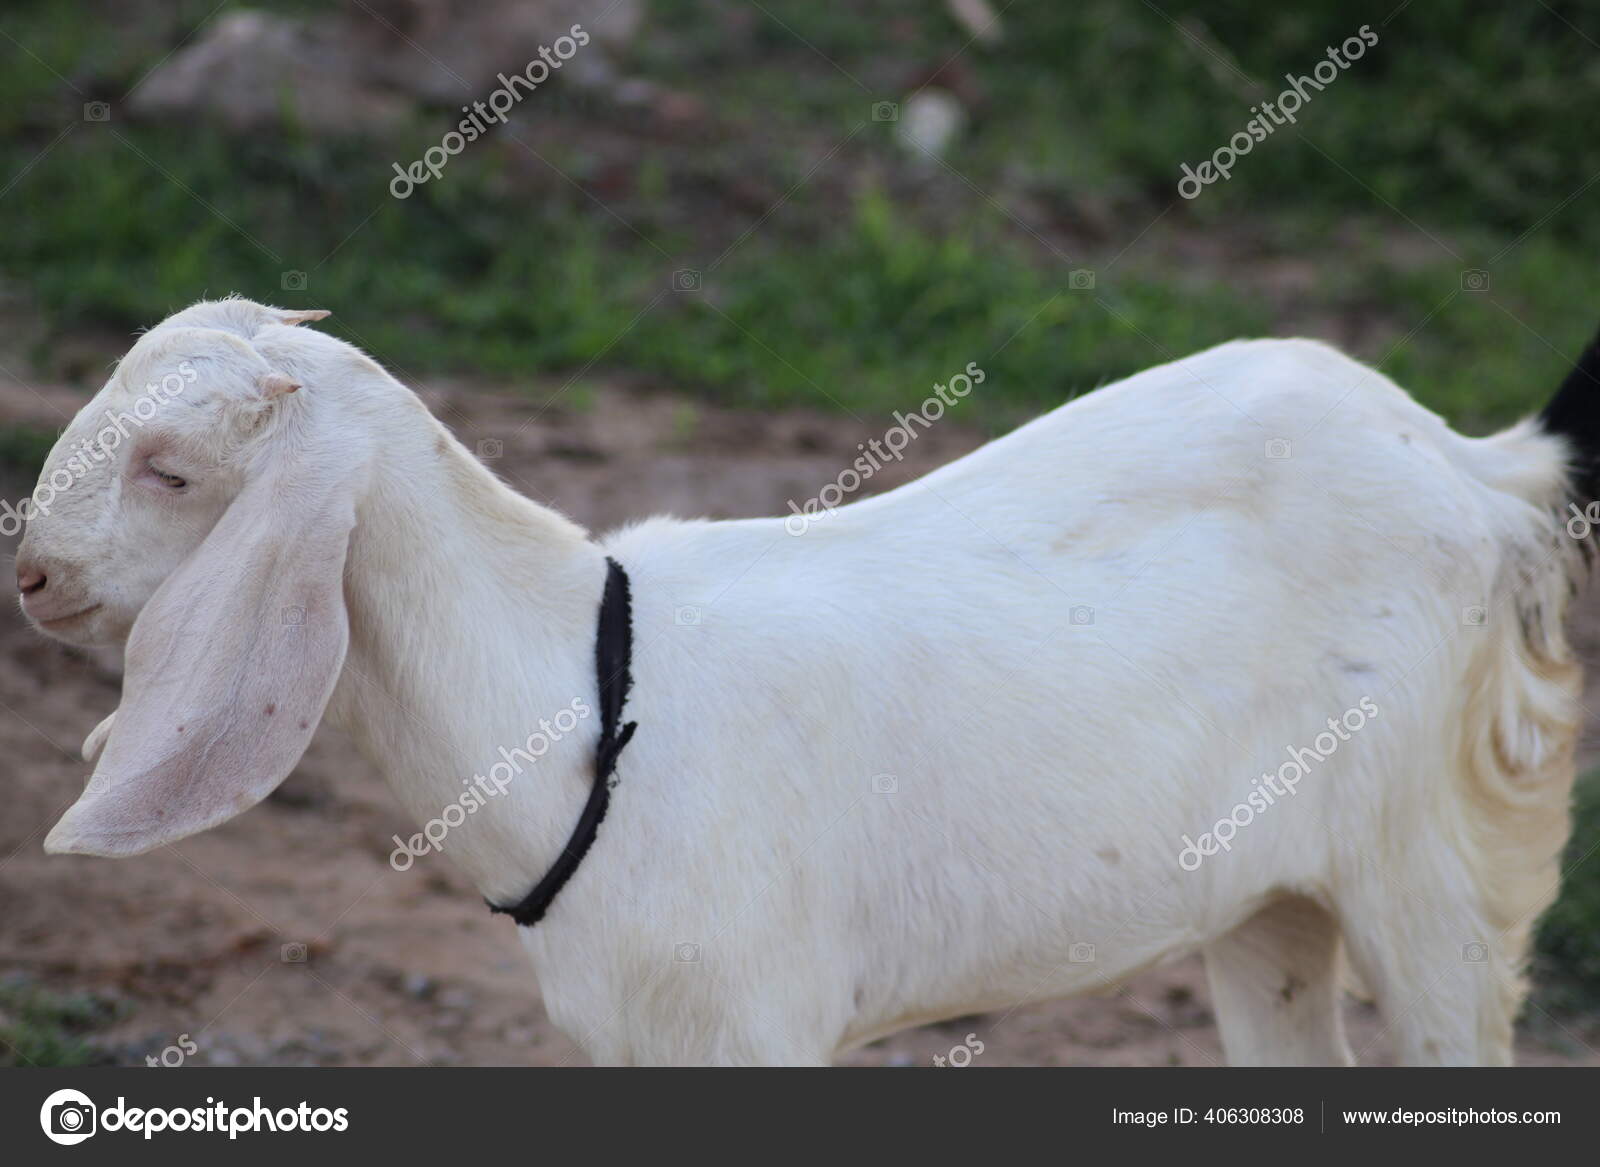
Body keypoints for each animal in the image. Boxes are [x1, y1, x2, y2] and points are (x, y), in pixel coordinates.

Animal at [15, 296, 1598, 1065]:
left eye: (172, 470)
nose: (25, 572)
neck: (577, 694)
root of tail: (1472, 464)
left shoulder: (747, 1023)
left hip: (1432, 872)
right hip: (1270, 896)